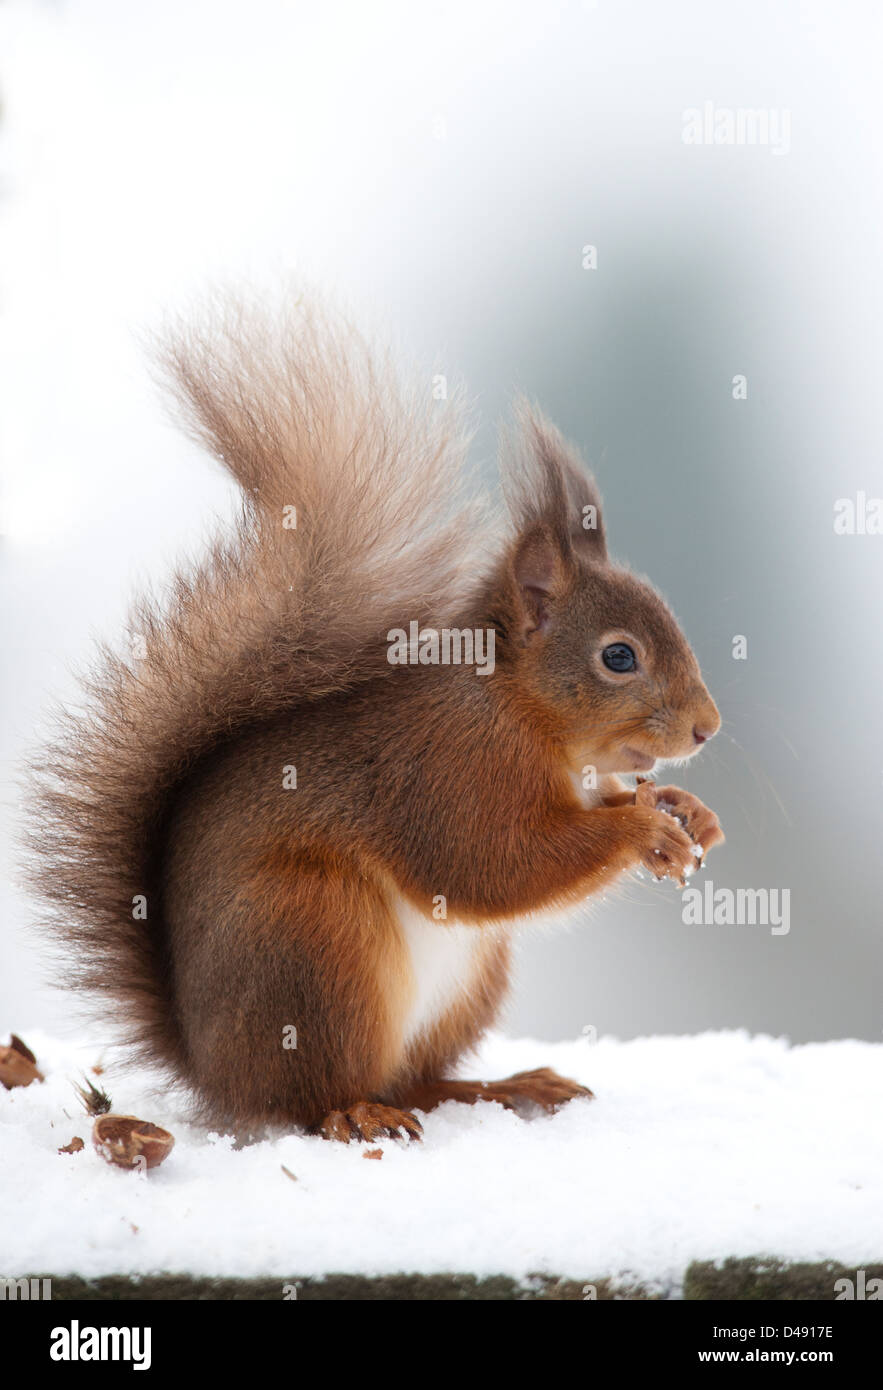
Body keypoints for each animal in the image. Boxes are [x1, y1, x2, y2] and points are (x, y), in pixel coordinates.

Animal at [25, 294, 723, 1143]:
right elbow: (486, 864)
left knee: (416, 1079)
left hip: (464, 980)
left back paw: (498, 1087)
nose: (707, 727)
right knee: (311, 1096)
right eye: (618, 657)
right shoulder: (447, 769)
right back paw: (357, 1112)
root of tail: (211, 1069)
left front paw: (688, 812)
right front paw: (640, 828)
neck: (526, 717)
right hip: (315, 944)